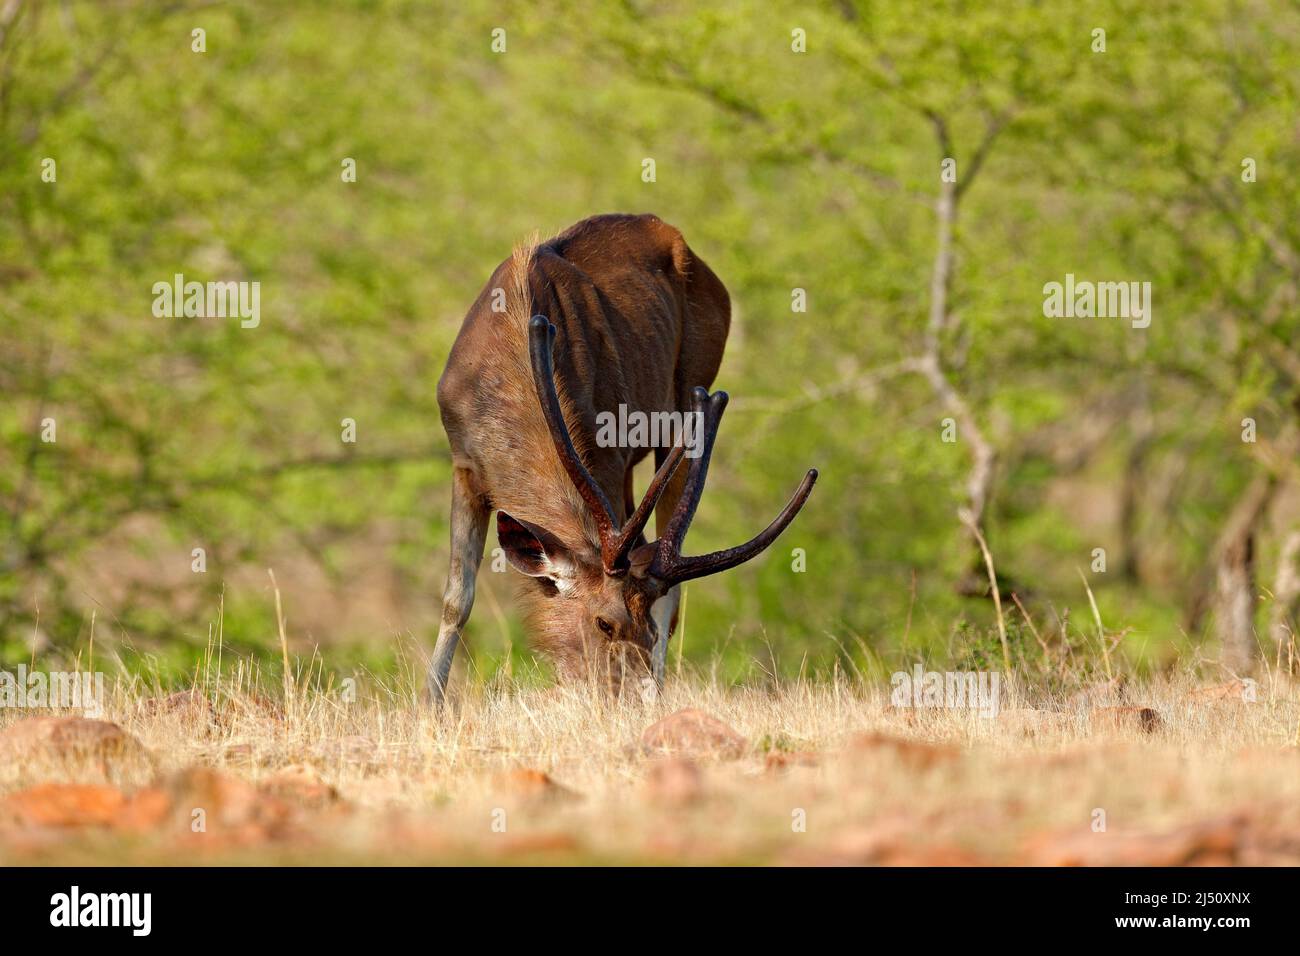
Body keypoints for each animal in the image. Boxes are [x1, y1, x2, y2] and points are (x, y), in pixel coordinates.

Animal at [428, 213, 817, 704]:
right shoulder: (463, 463)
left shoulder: (607, 454)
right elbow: (456, 598)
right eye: (605, 623)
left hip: (682, 407)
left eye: (642, 629)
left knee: (673, 584)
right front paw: (431, 705)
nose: (629, 698)